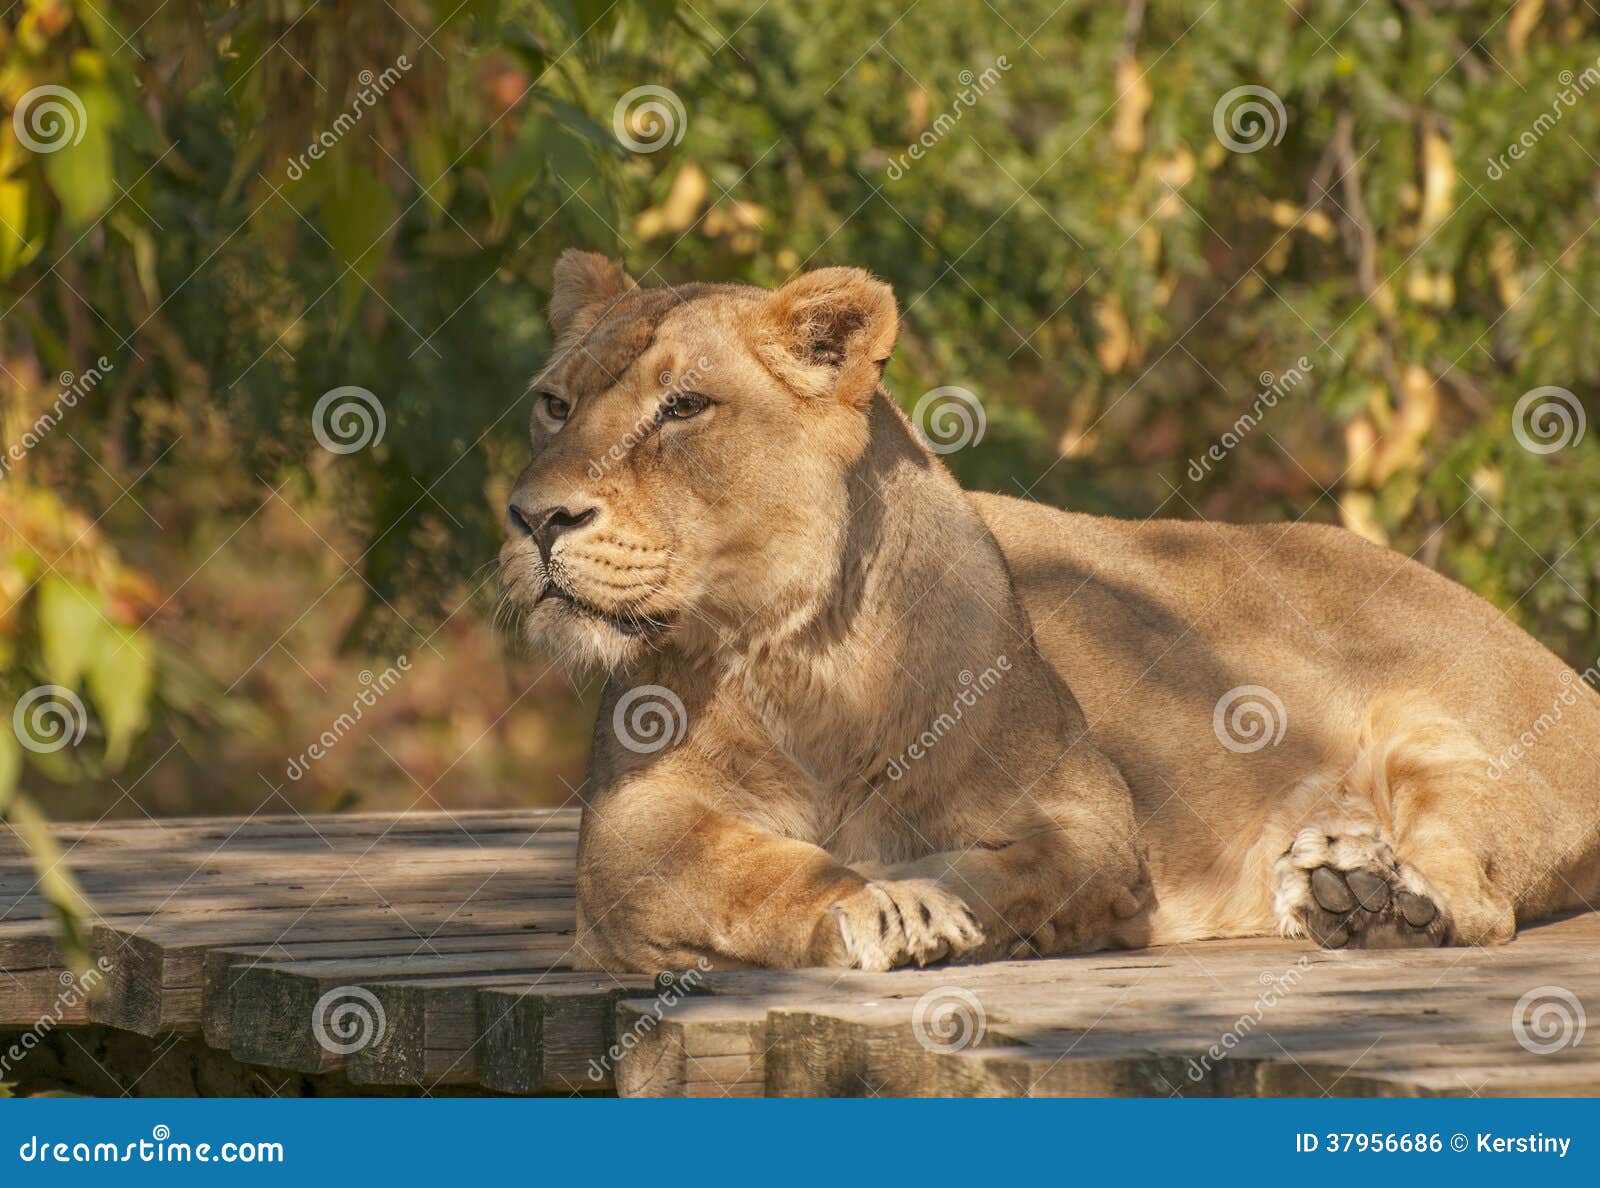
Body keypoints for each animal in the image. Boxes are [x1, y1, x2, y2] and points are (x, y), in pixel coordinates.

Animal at [497, 251, 1600, 972]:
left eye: (682, 407)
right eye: (553, 404)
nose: (534, 517)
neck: (796, 659)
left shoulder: (1086, 818)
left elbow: (993, 867)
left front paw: (927, 902)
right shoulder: (628, 833)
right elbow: (754, 869)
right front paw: (877, 902)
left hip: (1453, 742)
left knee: (1477, 890)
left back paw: (1375, 901)